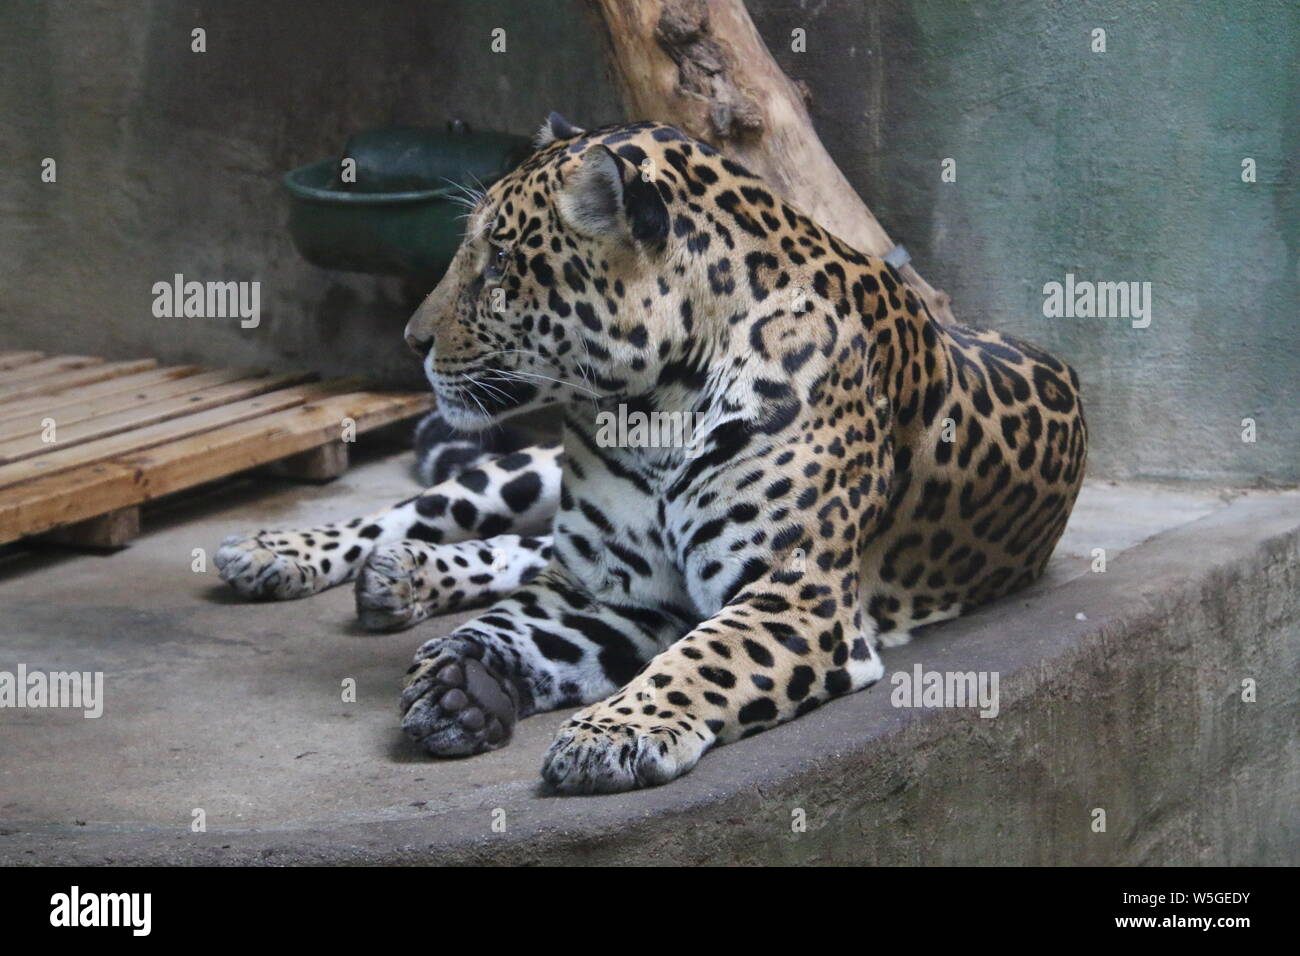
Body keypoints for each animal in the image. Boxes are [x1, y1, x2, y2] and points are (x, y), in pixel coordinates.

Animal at [216, 112, 1087, 793]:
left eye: (499, 262)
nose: (412, 340)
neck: (651, 411)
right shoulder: (610, 590)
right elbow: (521, 618)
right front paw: (466, 681)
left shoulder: (795, 594)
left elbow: (703, 657)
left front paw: (607, 734)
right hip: (523, 474)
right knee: (435, 514)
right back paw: (288, 553)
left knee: (524, 547)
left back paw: (403, 579)